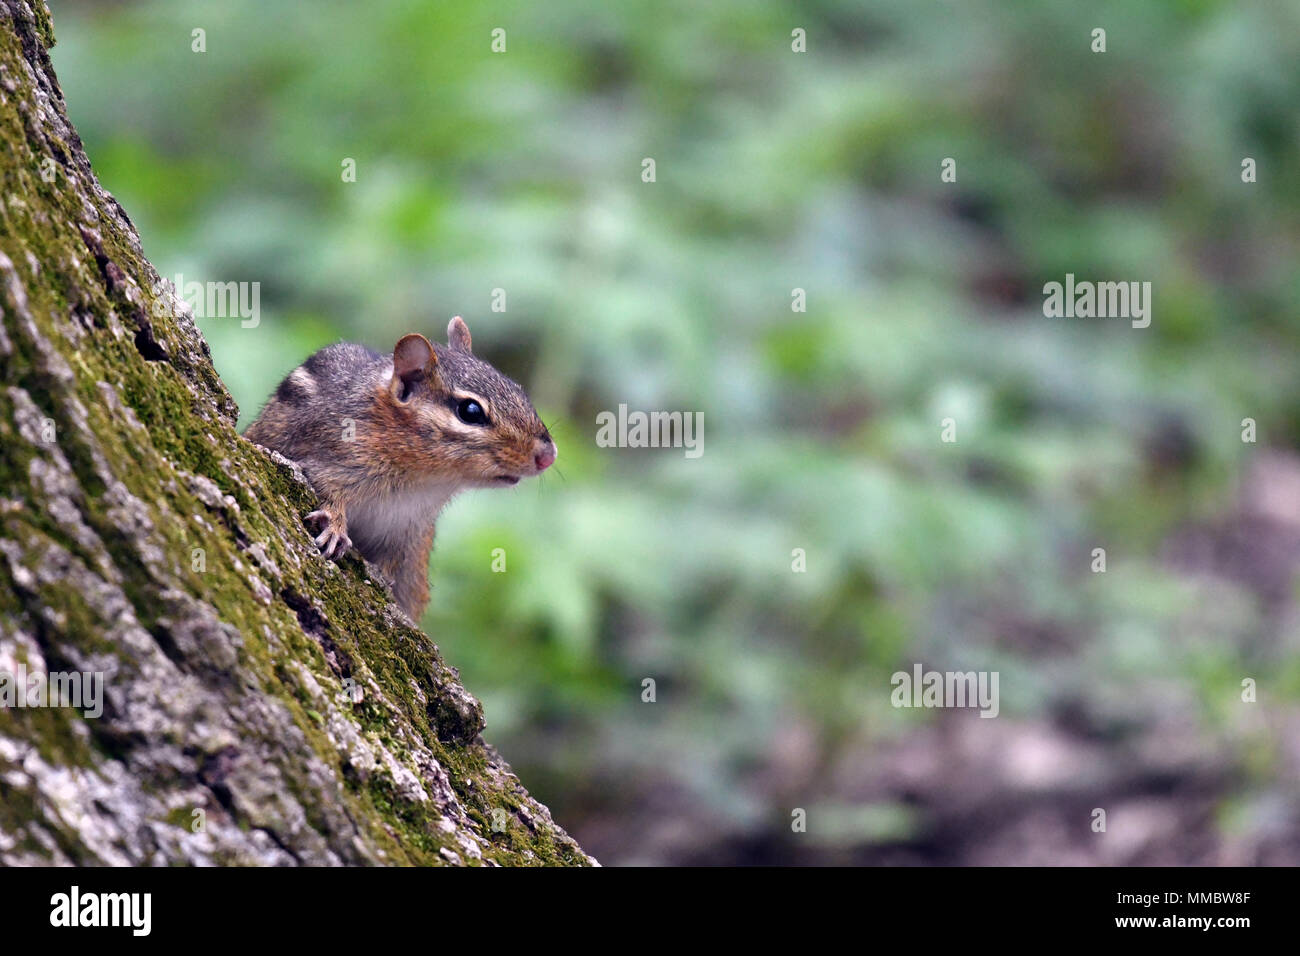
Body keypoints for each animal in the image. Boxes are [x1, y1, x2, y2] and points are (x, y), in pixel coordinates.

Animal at [243, 316, 556, 619]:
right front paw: (334, 524)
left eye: (517, 388)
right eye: (470, 411)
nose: (549, 456)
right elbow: (324, 486)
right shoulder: (327, 456)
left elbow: (394, 561)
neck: (422, 481)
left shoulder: (409, 531)